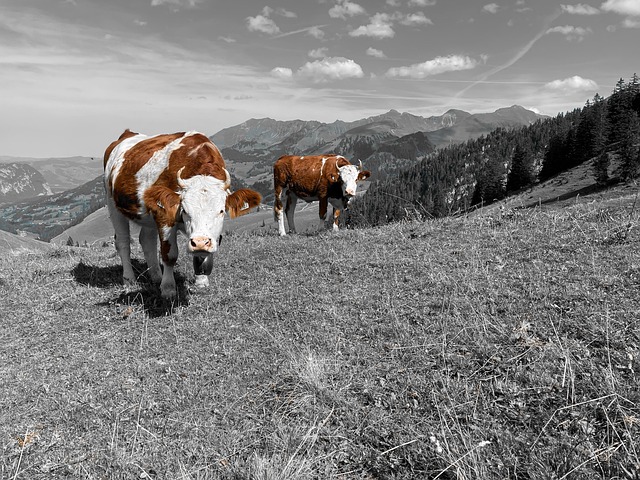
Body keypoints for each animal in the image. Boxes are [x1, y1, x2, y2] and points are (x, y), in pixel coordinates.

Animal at [104, 129, 262, 298]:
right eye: (184, 210)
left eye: (221, 211)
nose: (200, 242)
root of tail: (127, 134)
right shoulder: (165, 217)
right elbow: (169, 254)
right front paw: (168, 288)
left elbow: (201, 255)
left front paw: (201, 282)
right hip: (113, 204)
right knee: (123, 243)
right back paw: (129, 280)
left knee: (147, 240)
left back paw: (156, 276)